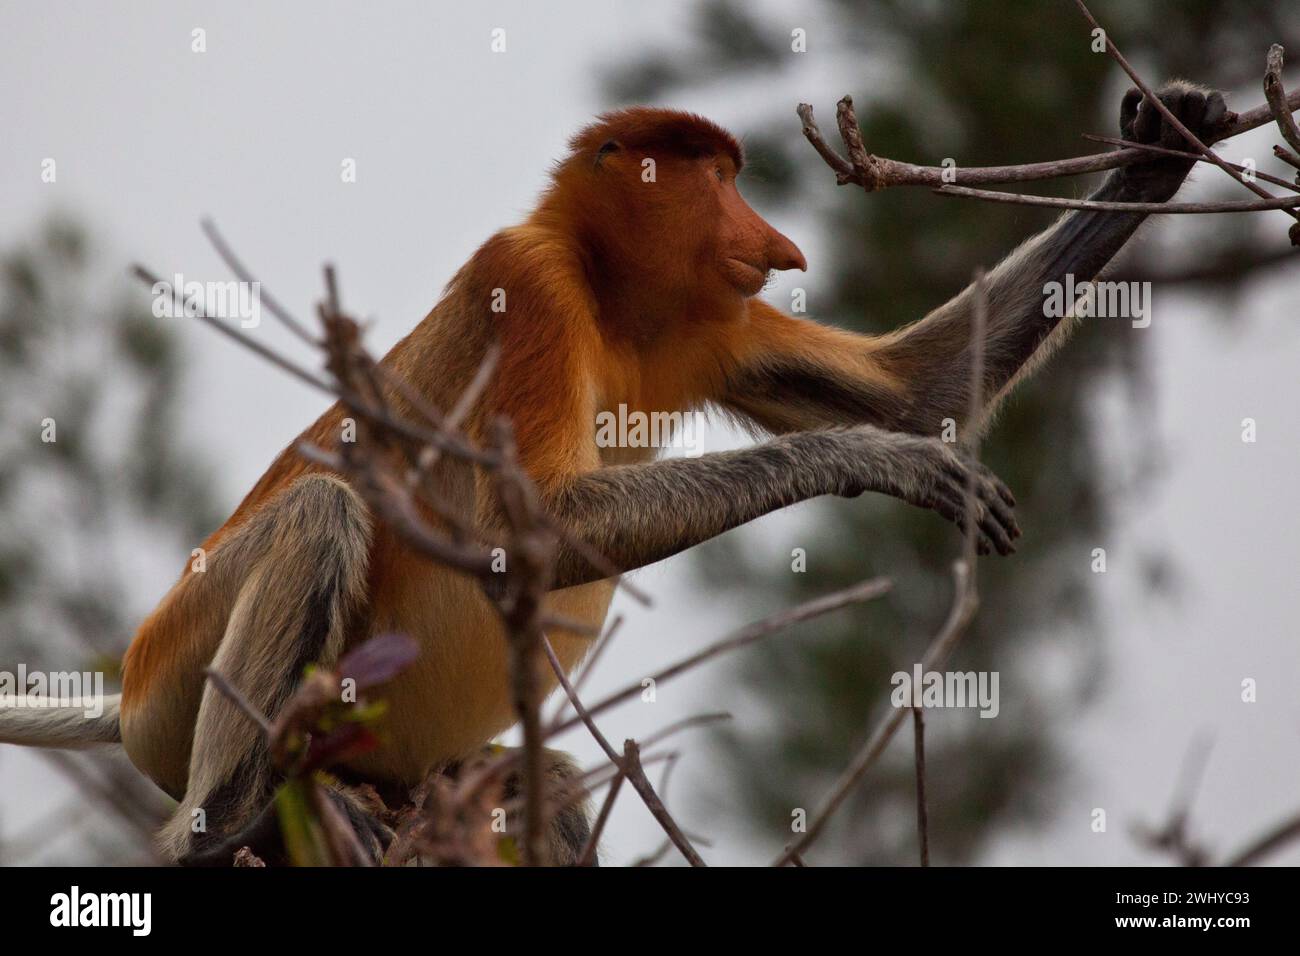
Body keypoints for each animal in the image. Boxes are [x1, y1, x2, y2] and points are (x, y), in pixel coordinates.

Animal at [0, 82, 1227, 865]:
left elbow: (919, 387)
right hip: (178, 671)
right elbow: (532, 522)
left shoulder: (715, 325)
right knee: (318, 508)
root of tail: (128, 697)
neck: (610, 294)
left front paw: (1164, 142)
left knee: (540, 794)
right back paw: (228, 824)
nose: (773, 242)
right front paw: (876, 461)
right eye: (704, 177)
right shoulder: (531, 282)